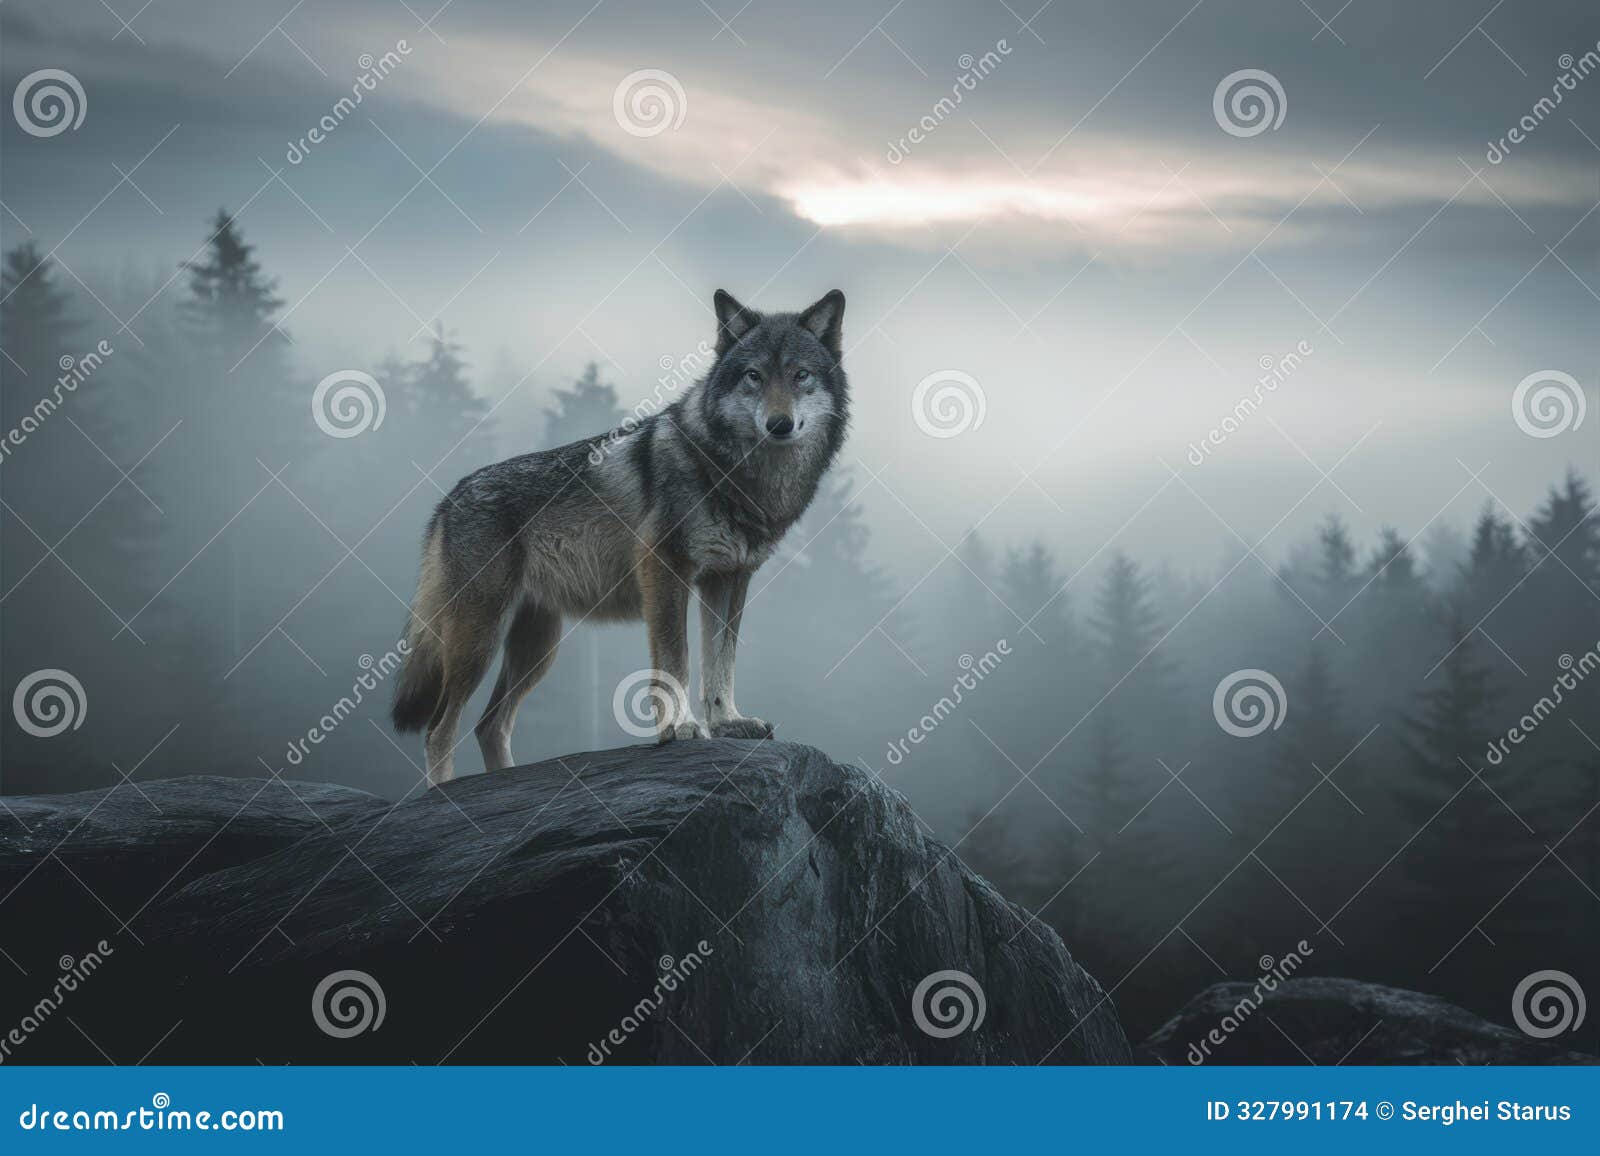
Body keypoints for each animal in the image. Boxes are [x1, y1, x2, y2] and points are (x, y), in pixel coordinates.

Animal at [391, 289, 848, 784]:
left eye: (801, 375)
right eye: (754, 376)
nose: (779, 424)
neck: (735, 474)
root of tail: (448, 498)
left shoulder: (728, 578)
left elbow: (720, 661)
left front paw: (727, 722)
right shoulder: (665, 567)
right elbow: (675, 659)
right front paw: (679, 726)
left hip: (537, 648)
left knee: (489, 726)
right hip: (481, 639)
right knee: (439, 729)